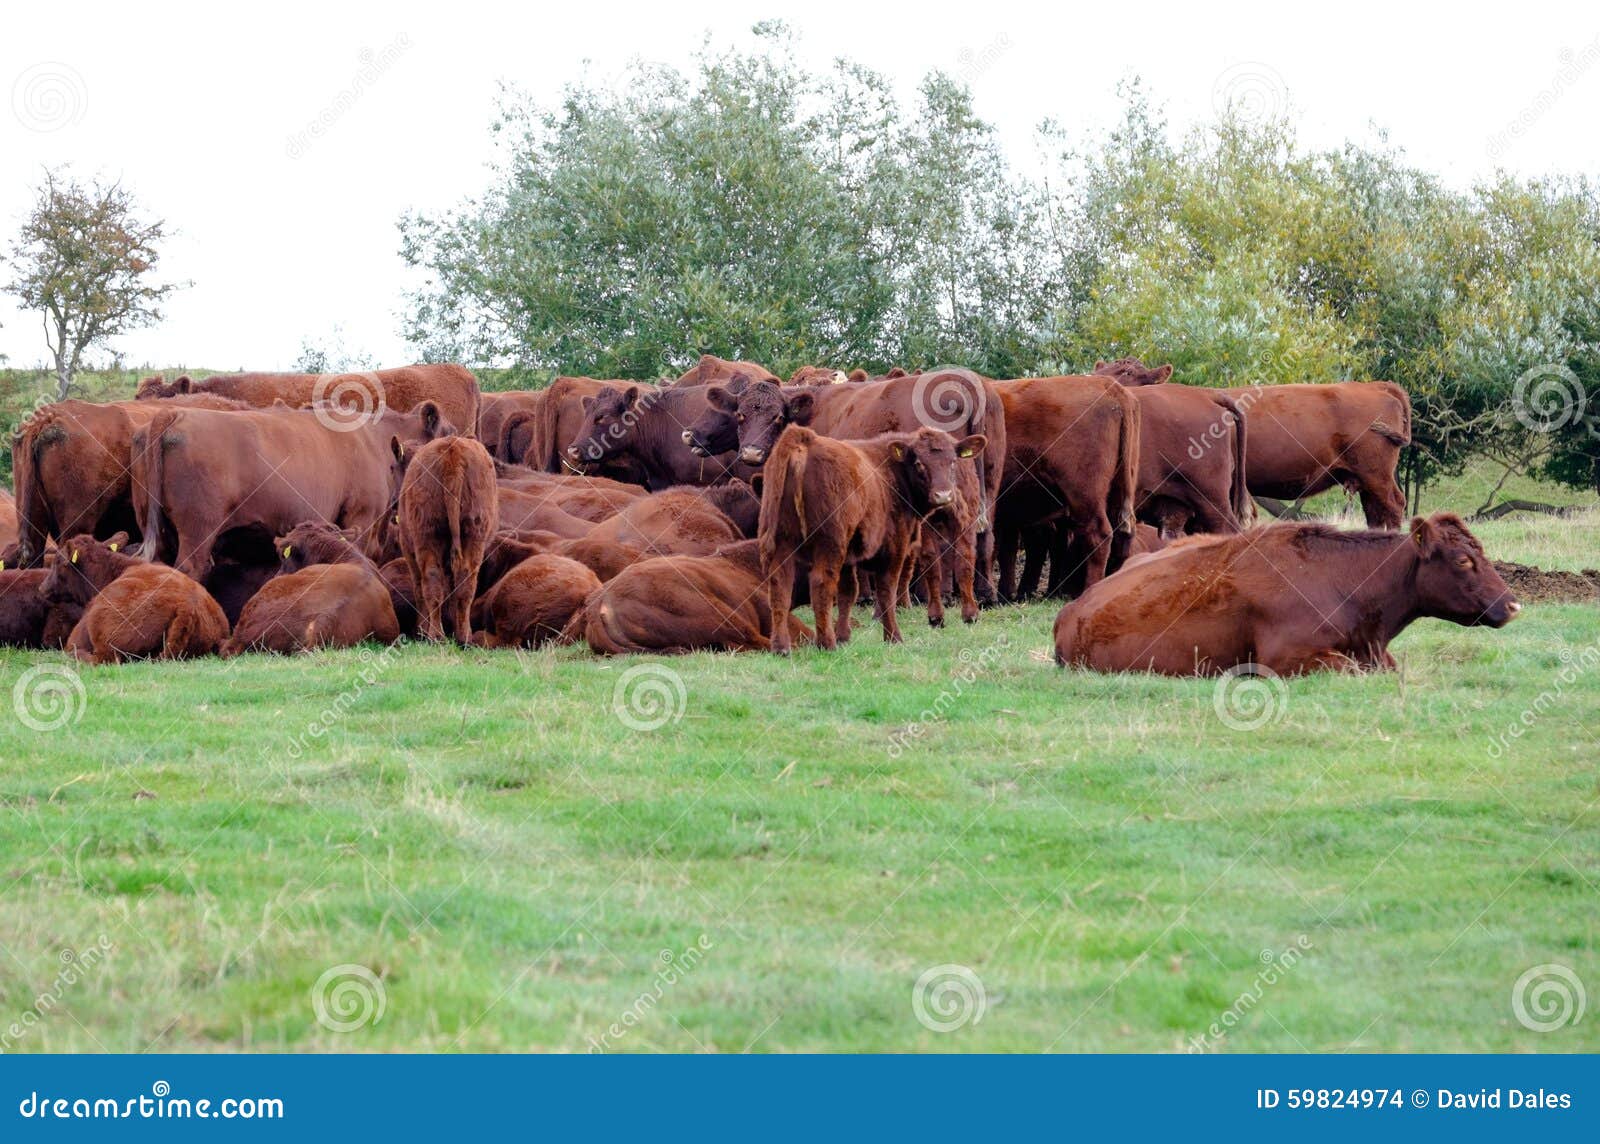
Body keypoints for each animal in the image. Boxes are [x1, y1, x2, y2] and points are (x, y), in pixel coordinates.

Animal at [133, 401, 452, 585]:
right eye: (449, 435)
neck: (375, 440)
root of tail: (174, 414)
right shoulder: (360, 518)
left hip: (156, 527)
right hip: (198, 529)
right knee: (191, 568)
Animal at [397, 436, 498, 643]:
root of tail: (453, 450)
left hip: (429, 534)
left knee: (432, 580)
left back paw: (436, 635)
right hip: (472, 533)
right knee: (464, 582)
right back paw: (461, 636)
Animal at [758, 424, 985, 653]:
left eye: (953, 461)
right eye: (919, 463)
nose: (943, 495)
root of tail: (805, 439)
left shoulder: (849, 557)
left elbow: (848, 592)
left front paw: (844, 635)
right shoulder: (895, 547)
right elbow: (886, 591)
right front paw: (893, 637)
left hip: (782, 542)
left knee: (779, 585)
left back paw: (781, 647)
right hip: (829, 543)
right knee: (820, 583)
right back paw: (826, 643)